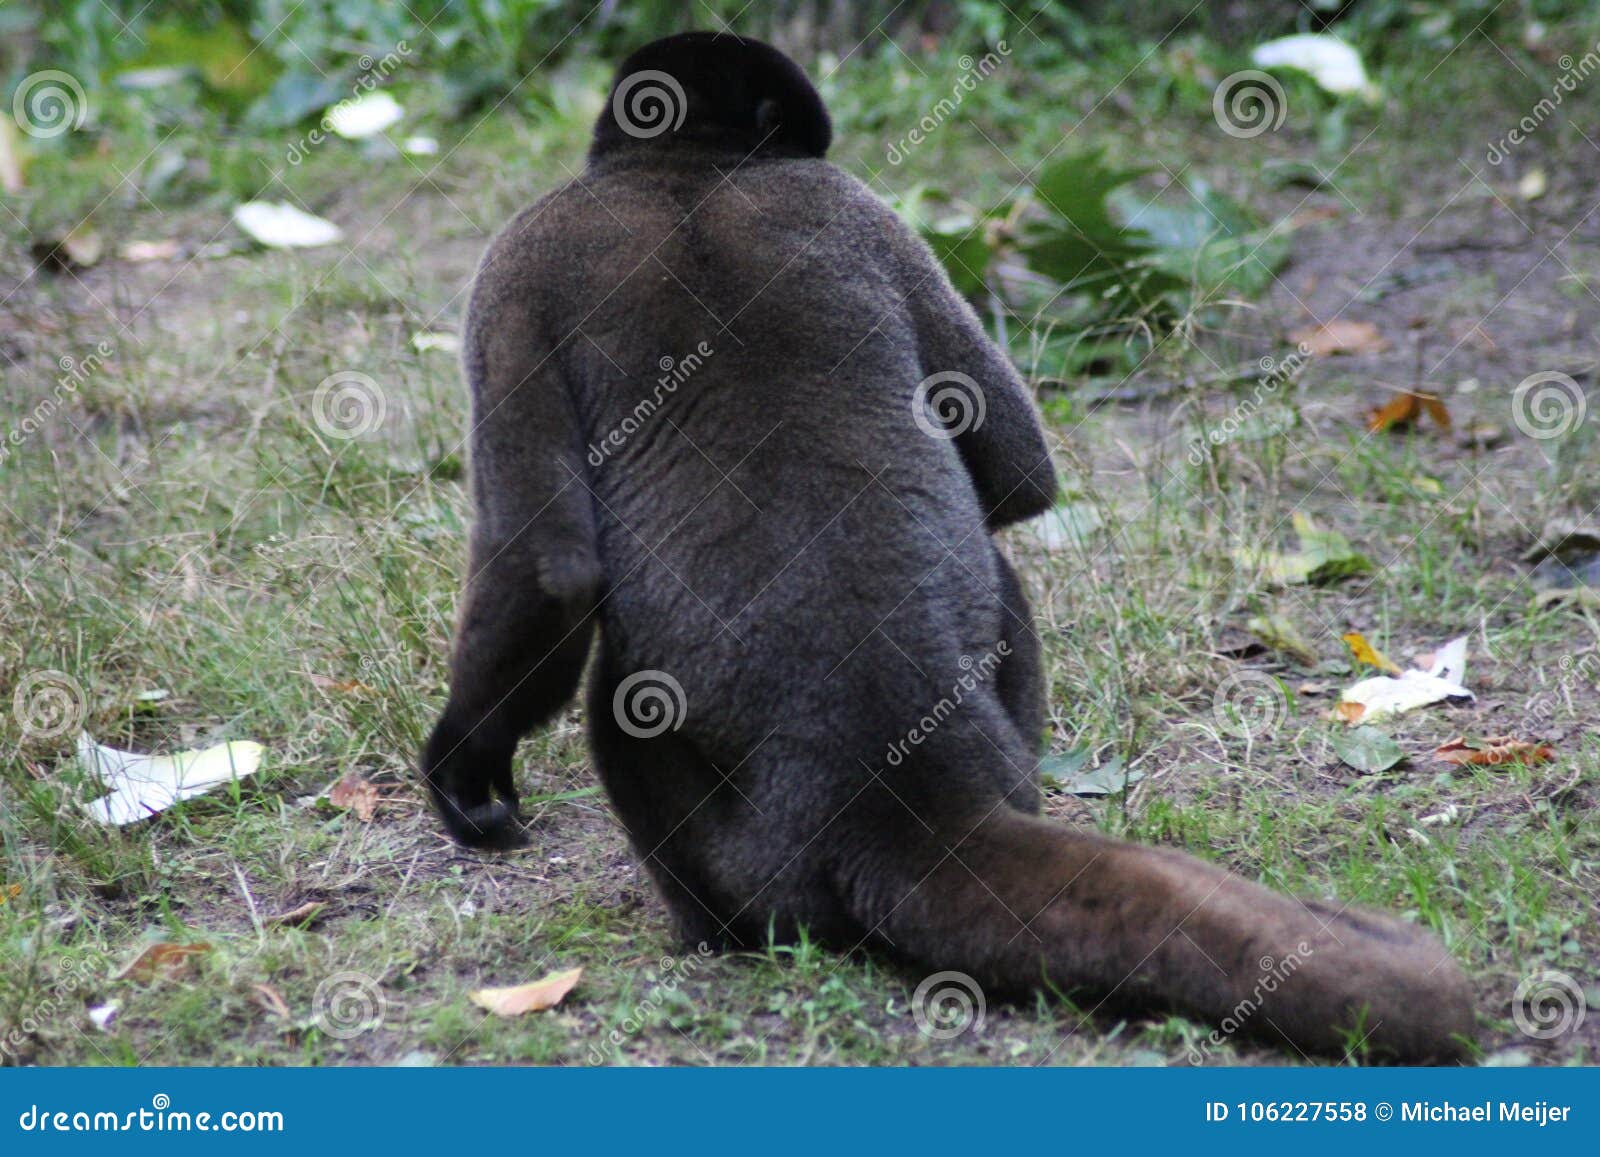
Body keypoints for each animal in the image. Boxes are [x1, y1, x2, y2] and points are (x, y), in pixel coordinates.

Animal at [421, 31, 1475, 1063]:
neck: (687, 167)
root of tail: (911, 794)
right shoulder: (867, 216)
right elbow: (1017, 470)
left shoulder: (515, 264)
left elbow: (548, 566)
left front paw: (461, 767)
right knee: (1004, 579)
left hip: (744, 856)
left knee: (616, 681)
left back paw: (702, 932)